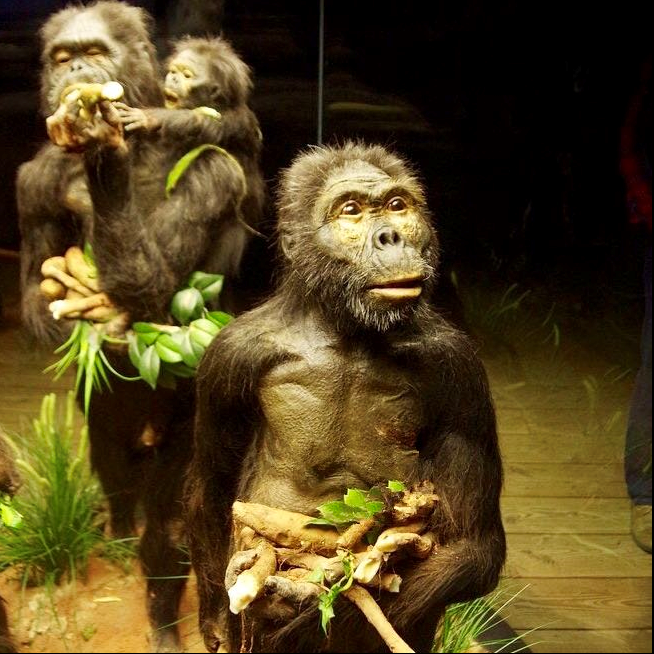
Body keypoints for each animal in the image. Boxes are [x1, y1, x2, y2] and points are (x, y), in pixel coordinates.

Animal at [185, 141, 506, 652]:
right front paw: (218, 617)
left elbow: (474, 545)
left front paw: (299, 607)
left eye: (397, 205)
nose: (390, 236)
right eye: (351, 210)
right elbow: (212, 486)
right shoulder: (230, 355)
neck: (345, 331)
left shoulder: (461, 372)